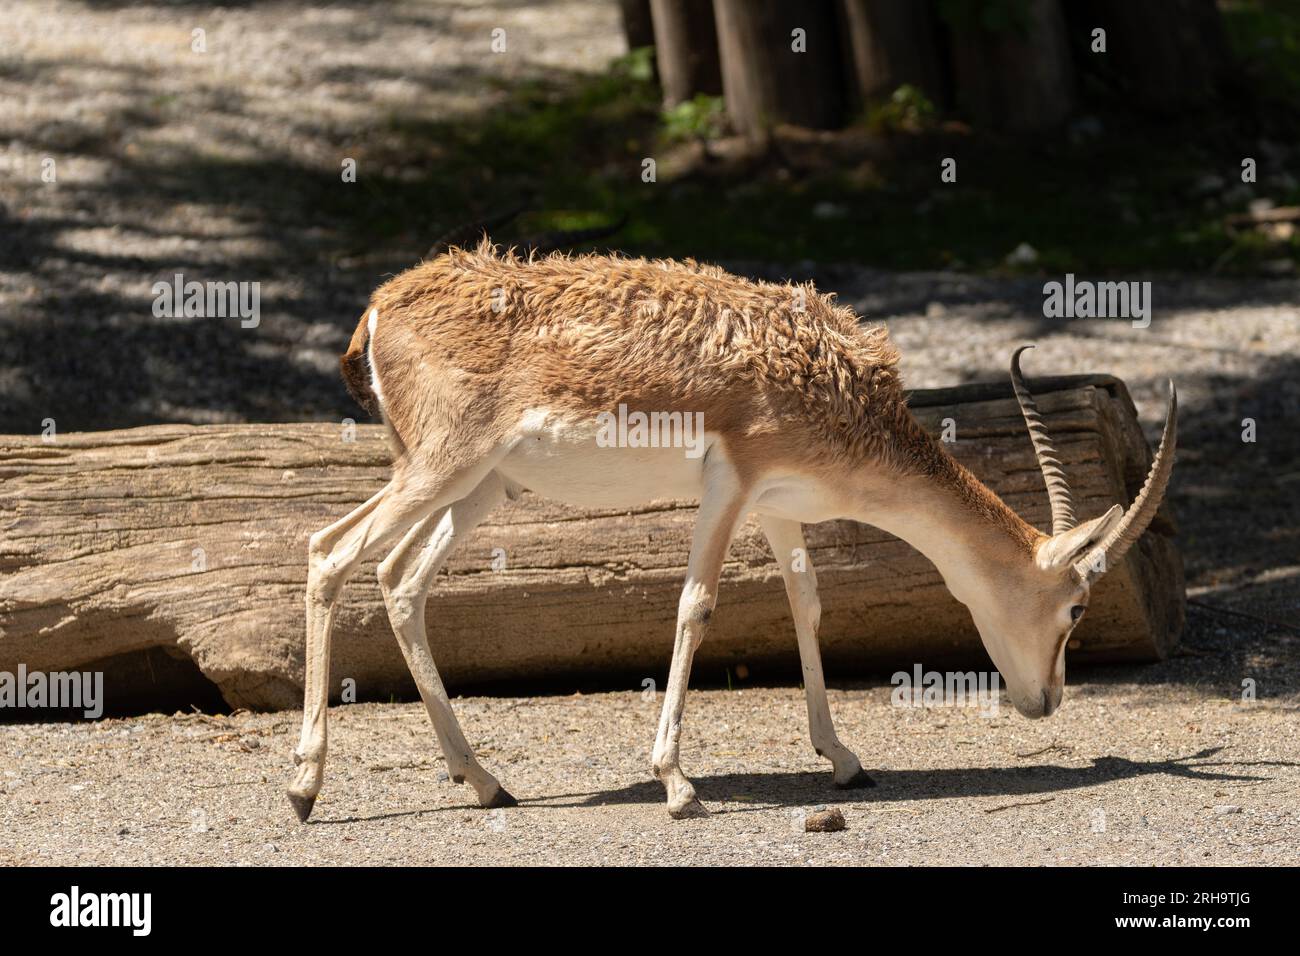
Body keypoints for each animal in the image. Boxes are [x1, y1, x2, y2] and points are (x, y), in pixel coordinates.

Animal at [287, 242, 1176, 821]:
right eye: (1076, 608)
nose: (1048, 701)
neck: (837, 391)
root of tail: (381, 308)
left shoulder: (779, 504)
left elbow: (808, 604)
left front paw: (845, 761)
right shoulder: (731, 483)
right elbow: (696, 606)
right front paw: (677, 784)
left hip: (480, 486)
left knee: (401, 578)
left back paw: (485, 782)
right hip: (441, 467)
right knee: (330, 551)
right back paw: (304, 789)